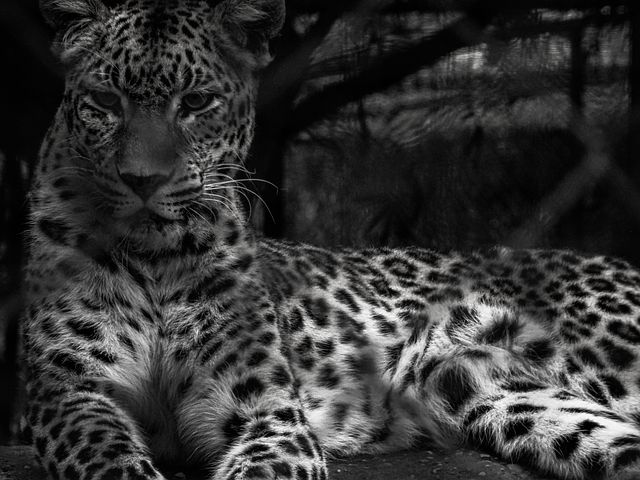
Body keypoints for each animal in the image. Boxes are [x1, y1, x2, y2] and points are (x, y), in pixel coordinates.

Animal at [20, 0, 640, 479]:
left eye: (195, 103)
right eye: (106, 102)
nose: (142, 180)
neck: (155, 260)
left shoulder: (271, 410)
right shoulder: (69, 395)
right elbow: (106, 458)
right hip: (505, 397)